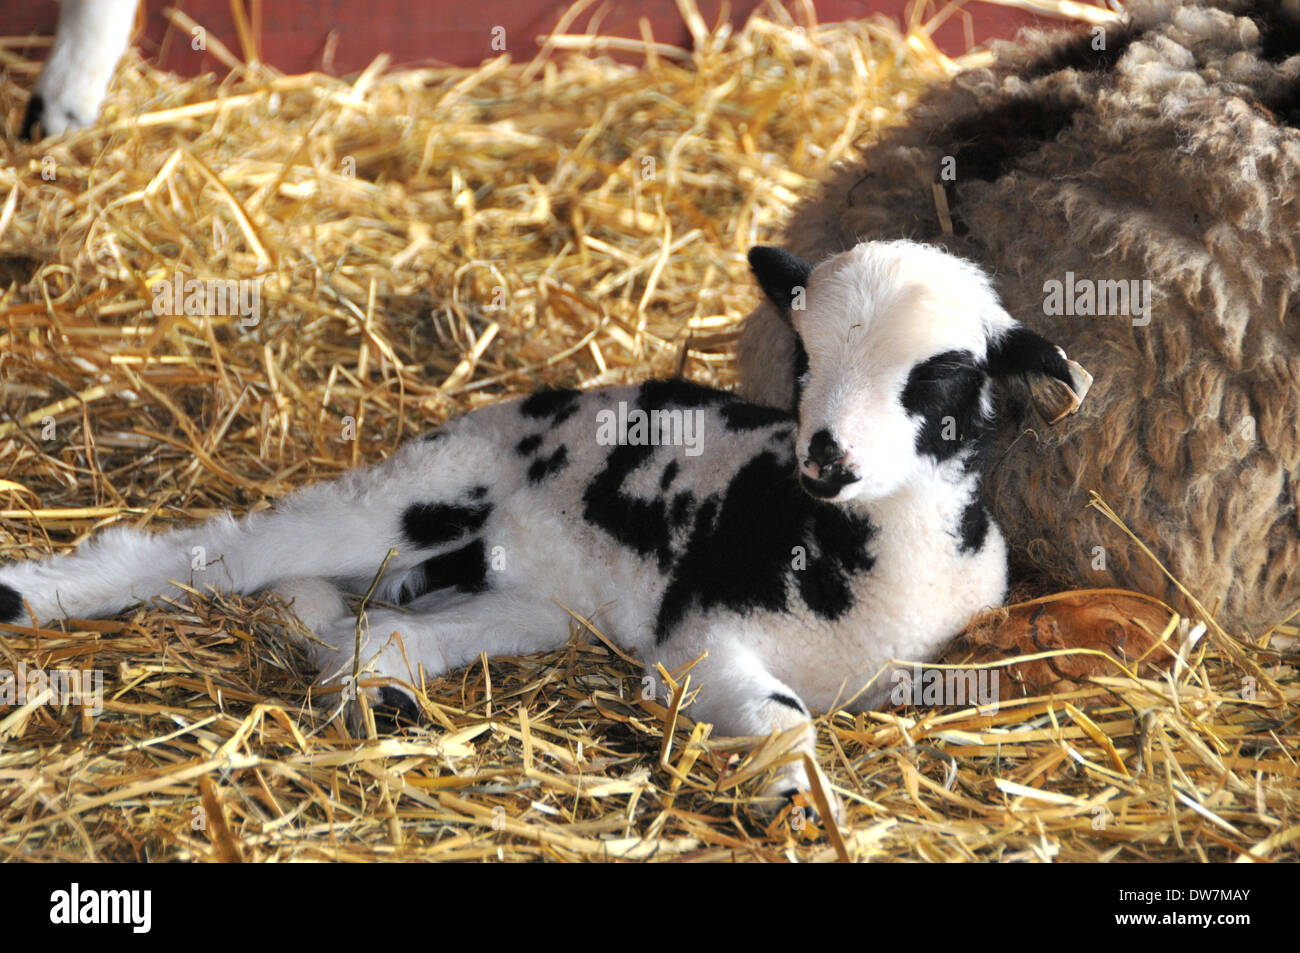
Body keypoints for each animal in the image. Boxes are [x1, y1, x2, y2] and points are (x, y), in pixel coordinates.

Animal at [0, 239, 1078, 820]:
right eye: (804, 359)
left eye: (941, 380)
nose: (825, 456)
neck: (855, 559)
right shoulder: (696, 643)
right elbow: (782, 716)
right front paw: (792, 796)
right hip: (412, 492)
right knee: (226, 546)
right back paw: (35, 592)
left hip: (533, 601)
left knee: (384, 627)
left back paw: (375, 695)